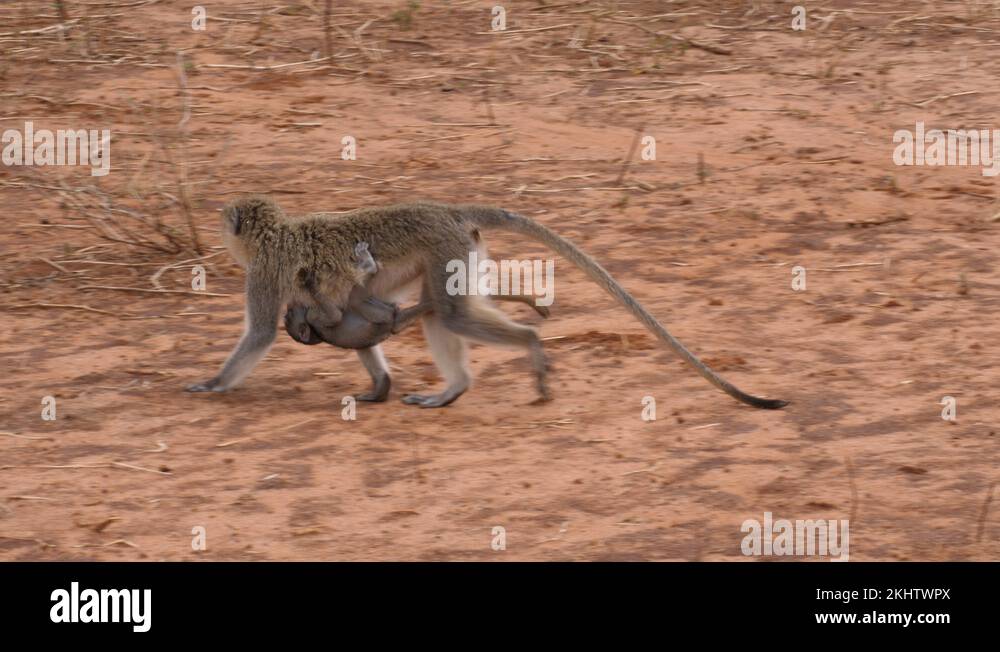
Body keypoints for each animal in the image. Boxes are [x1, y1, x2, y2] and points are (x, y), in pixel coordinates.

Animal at [187, 195, 787, 410]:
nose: (218, 226)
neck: (276, 234)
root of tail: (448, 210)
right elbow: (353, 325)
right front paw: (379, 384)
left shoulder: (263, 274)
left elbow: (261, 334)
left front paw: (212, 384)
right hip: (457, 255)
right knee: (443, 309)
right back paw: (456, 386)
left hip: (444, 250)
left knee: (449, 313)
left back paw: (530, 345)